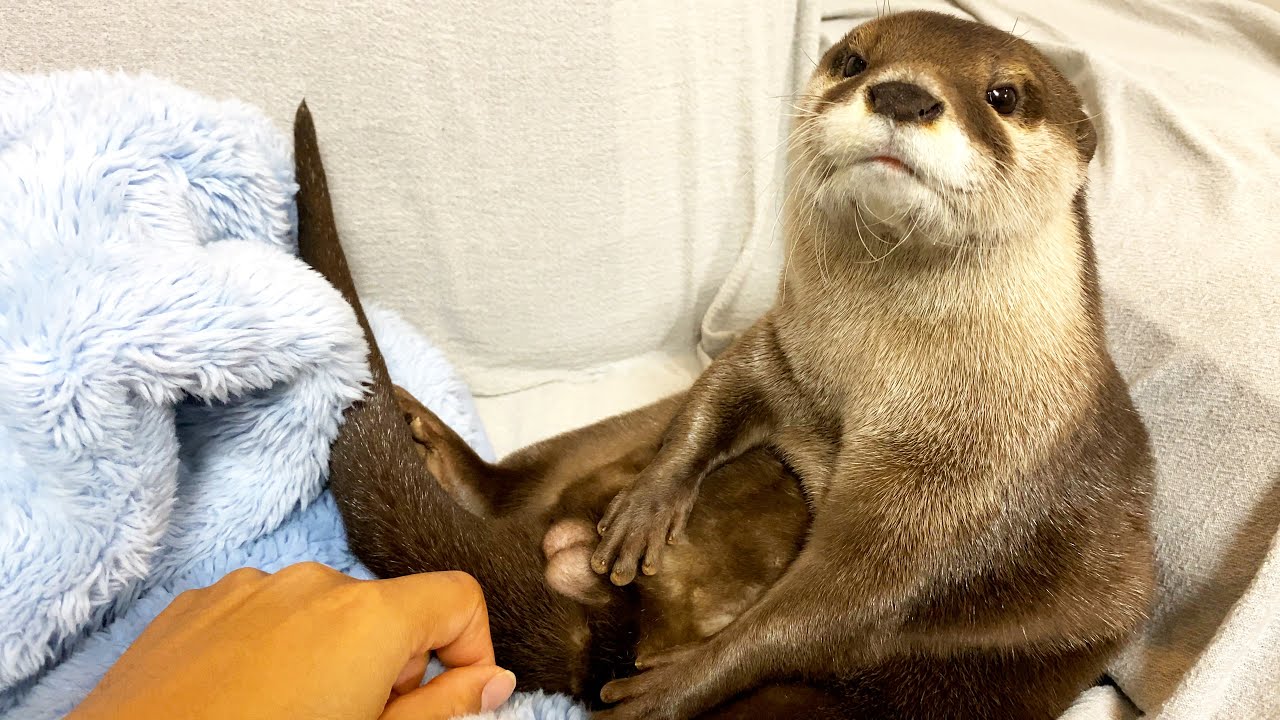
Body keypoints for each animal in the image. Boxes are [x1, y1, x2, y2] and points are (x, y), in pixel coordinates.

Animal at [298, 10, 1155, 720]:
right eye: (852, 58)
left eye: (1004, 95)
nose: (904, 94)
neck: (872, 371)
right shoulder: (782, 347)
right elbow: (715, 398)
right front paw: (646, 507)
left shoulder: (957, 491)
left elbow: (840, 609)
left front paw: (675, 685)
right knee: (528, 480)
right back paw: (445, 454)